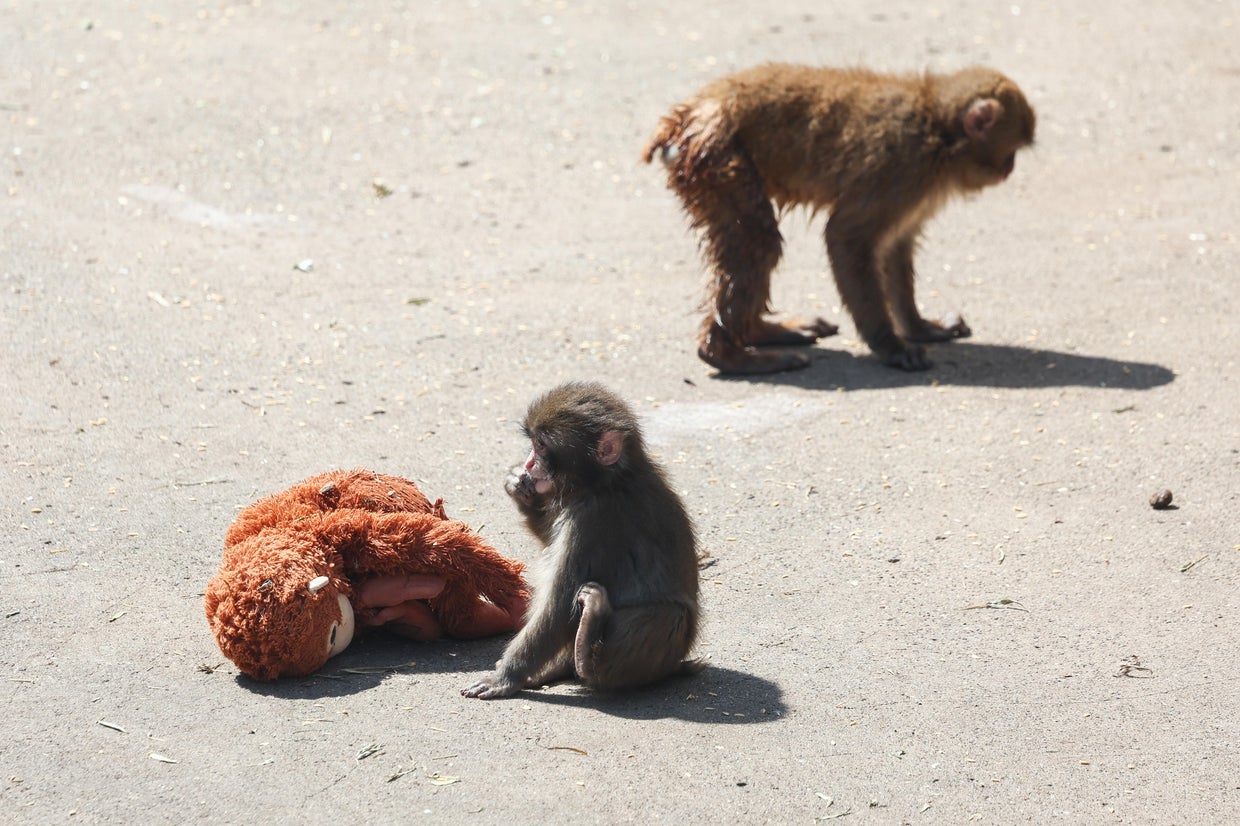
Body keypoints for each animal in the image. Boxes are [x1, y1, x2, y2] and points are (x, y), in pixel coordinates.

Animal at [461, 381, 703, 699]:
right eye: (533, 443)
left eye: (541, 446)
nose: (529, 463)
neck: (607, 482)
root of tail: (675, 665)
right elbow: (550, 540)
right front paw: (521, 491)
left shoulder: (593, 521)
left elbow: (560, 605)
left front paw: (505, 678)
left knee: (666, 615)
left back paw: (587, 653)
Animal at [643, 63, 1036, 374]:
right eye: (1012, 150)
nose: (1010, 169)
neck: (937, 128)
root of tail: (685, 115)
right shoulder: (901, 168)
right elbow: (845, 236)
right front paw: (890, 346)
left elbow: (896, 245)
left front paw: (919, 326)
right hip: (717, 158)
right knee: (758, 240)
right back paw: (728, 355)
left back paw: (760, 332)